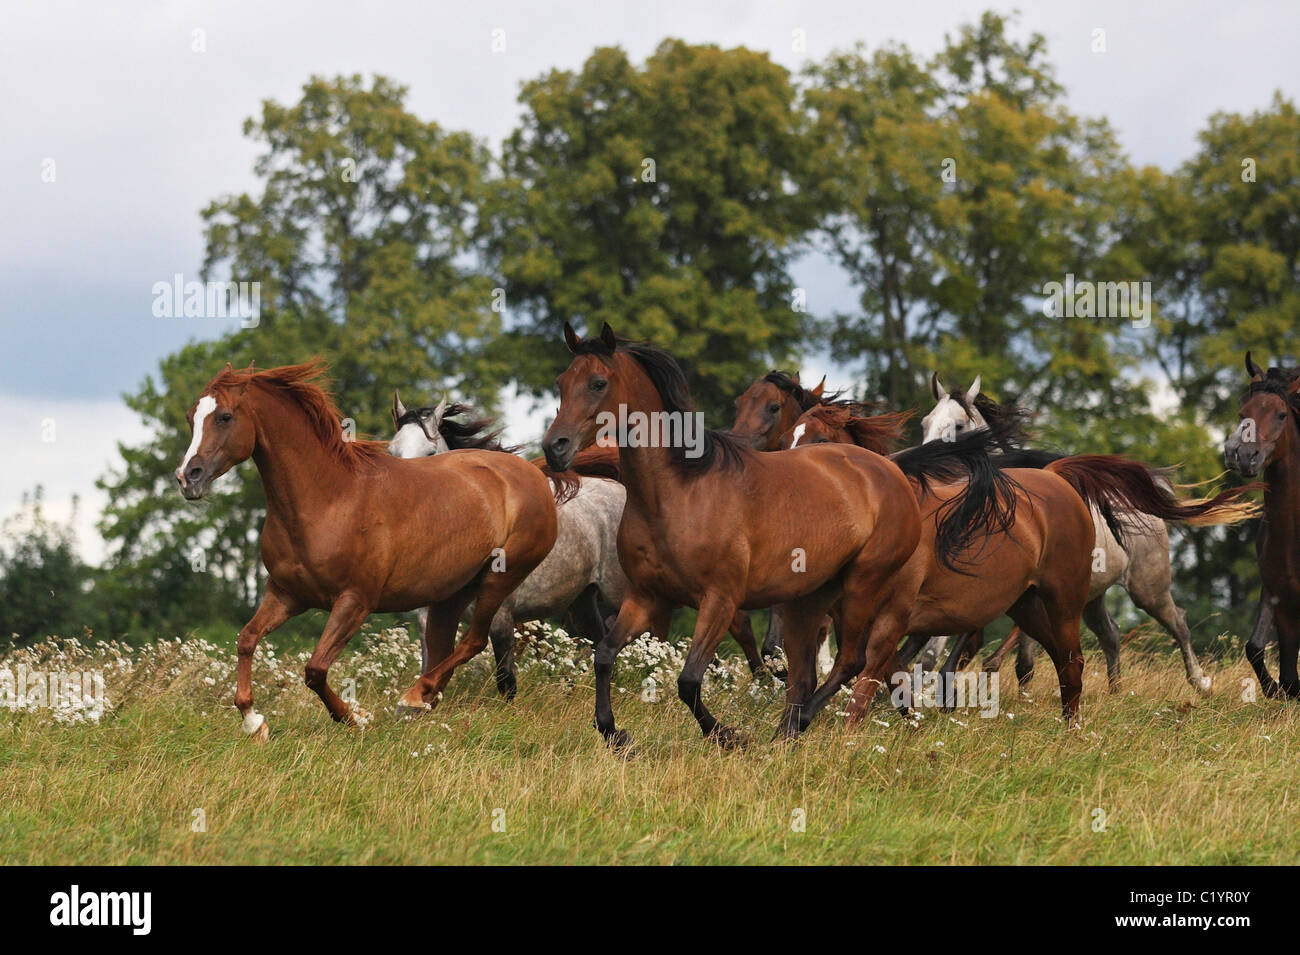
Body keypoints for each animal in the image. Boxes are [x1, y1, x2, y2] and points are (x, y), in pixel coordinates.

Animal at [174, 361, 557, 738]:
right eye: (192, 415)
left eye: (224, 417)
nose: (187, 477)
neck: (330, 500)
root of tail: (532, 474)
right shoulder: (286, 594)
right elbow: (247, 639)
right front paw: (254, 721)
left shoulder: (355, 601)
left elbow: (315, 669)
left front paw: (355, 717)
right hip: (451, 593)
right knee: (443, 650)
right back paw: (418, 705)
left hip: (499, 579)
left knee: (473, 641)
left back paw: (411, 699)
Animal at [541, 322, 1029, 751]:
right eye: (563, 381)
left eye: (598, 383)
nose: (554, 447)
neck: (678, 491)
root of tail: (892, 471)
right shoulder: (648, 596)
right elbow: (605, 655)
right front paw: (615, 734)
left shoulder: (720, 599)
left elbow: (689, 680)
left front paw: (728, 735)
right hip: (808, 600)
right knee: (820, 671)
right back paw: (798, 728)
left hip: (863, 586)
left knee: (854, 660)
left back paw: (798, 726)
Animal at [921, 372, 1259, 694]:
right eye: (925, 423)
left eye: (959, 425)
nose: (926, 465)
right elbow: (935, 649)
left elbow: (1022, 660)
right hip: (1094, 598)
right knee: (1111, 634)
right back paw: (1116, 692)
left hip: (1148, 588)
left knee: (1179, 623)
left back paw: (1200, 683)